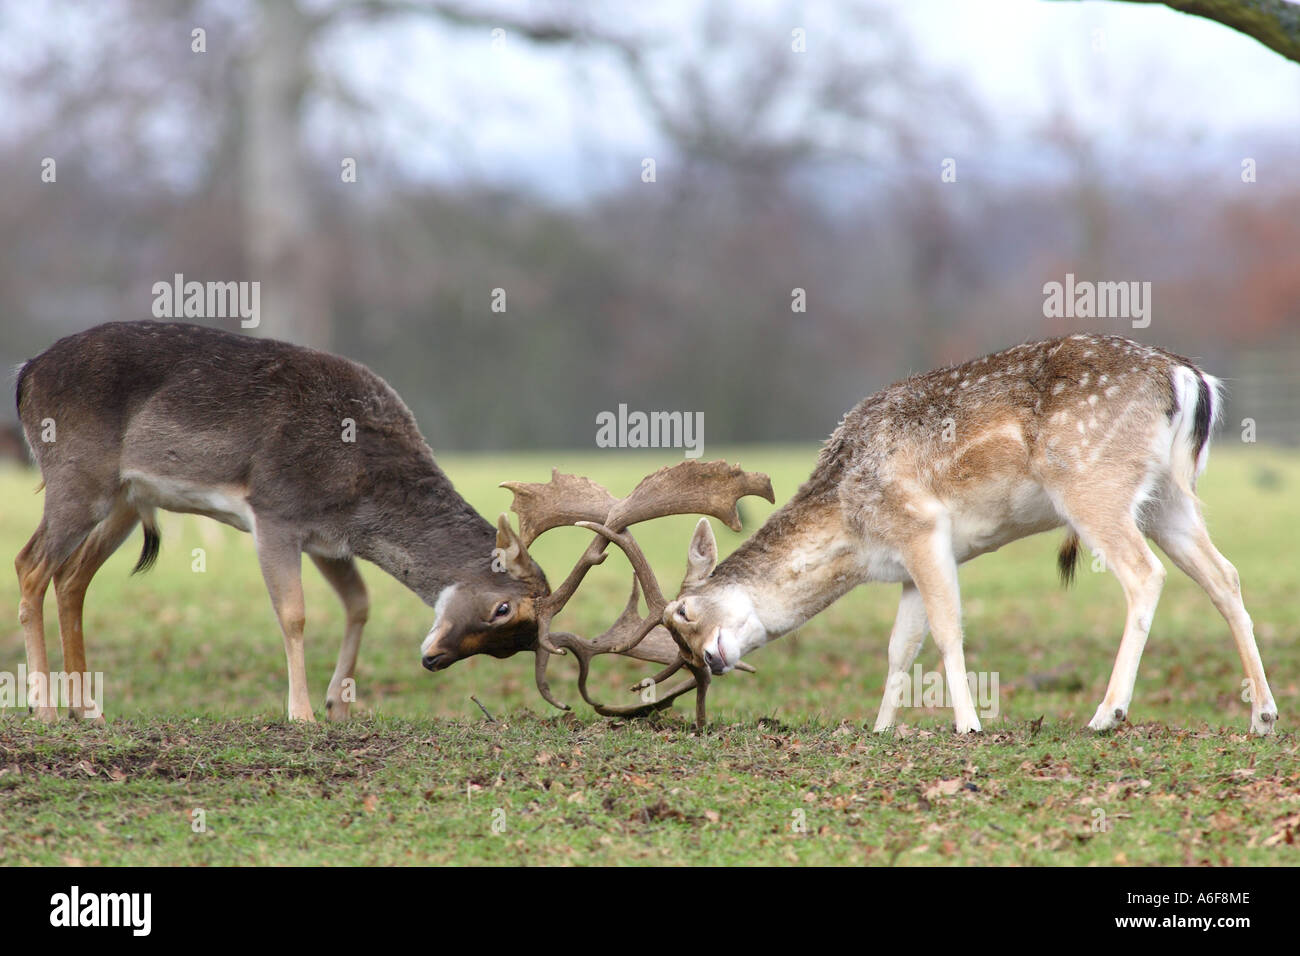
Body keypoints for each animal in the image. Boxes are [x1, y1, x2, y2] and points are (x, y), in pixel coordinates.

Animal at [14, 319, 564, 722]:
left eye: (510, 648)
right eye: (502, 610)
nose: (433, 660)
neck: (361, 483)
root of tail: (25, 373)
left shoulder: (326, 540)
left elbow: (359, 602)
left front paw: (337, 705)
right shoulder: (276, 510)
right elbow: (294, 612)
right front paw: (301, 714)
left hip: (126, 499)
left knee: (71, 577)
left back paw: (87, 709)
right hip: (77, 476)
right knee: (30, 564)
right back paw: (44, 710)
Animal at [658, 333, 1279, 736]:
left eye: (683, 615)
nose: (711, 661)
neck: (851, 529)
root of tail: (1190, 378)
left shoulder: (921, 528)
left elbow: (947, 629)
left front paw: (968, 724)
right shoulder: (906, 567)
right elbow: (900, 647)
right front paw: (881, 729)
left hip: (1093, 485)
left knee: (1145, 574)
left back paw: (1107, 715)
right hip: (1169, 498)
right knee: (1225, 576)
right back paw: (1263, 715)